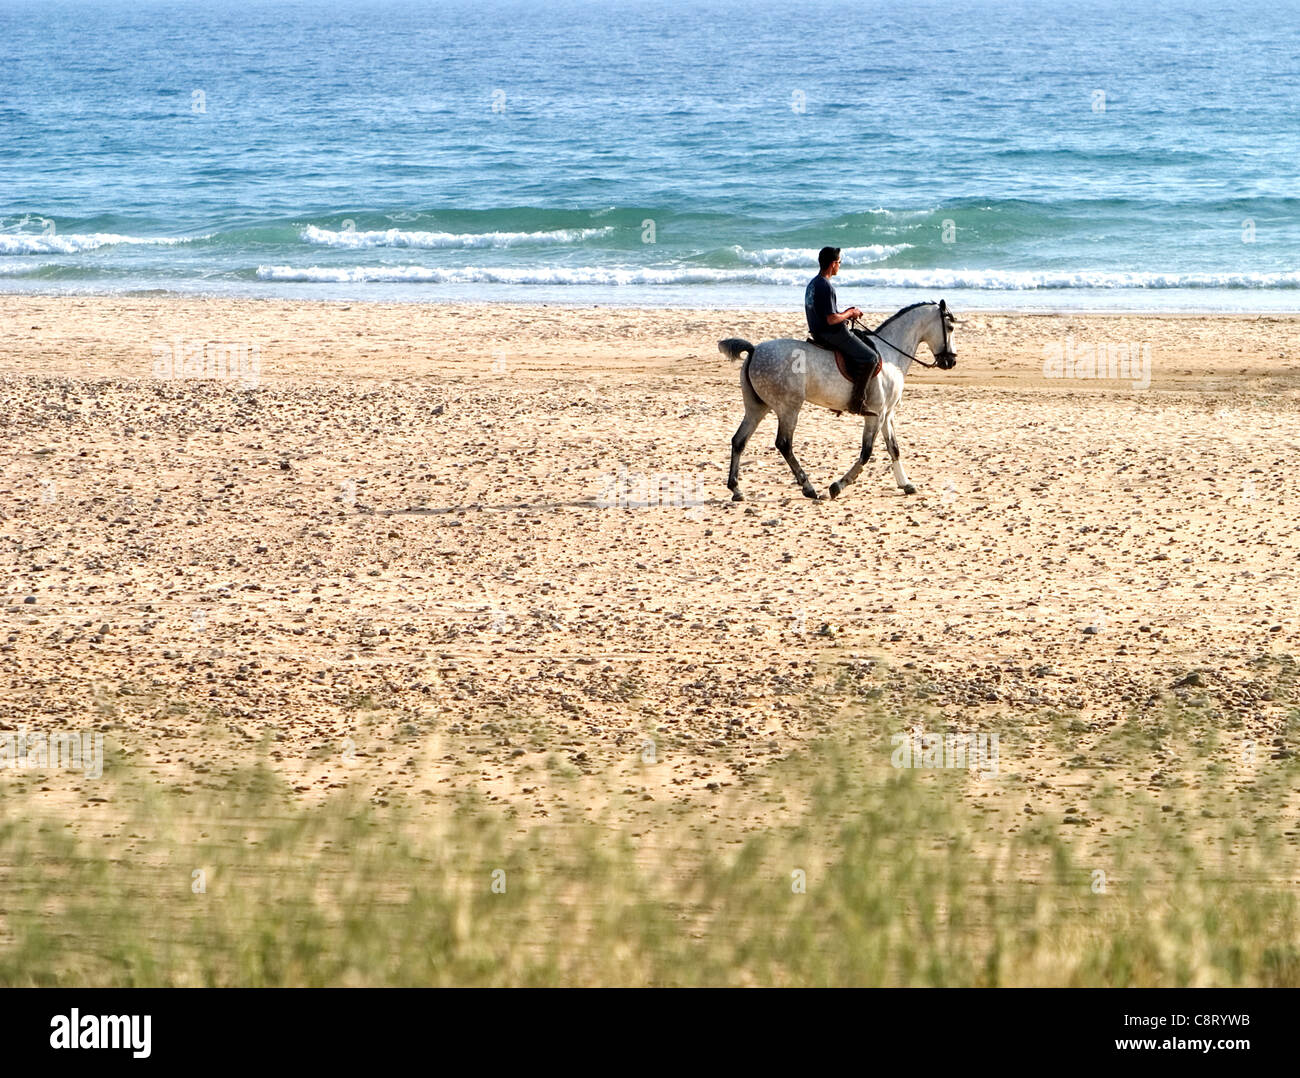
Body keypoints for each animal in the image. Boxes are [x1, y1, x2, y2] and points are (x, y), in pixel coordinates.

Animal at [718, 299, 959, 501]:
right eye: (950, 327)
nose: (951, 361)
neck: (891, 355)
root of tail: (754, 350)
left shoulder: (887, 414)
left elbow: (894, 448)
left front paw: (906, 483)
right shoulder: (876, 415)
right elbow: (866, 453)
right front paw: (838, 485)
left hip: (757, 408)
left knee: (739, 441)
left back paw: (736, 489)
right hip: (789, 408)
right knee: (784, 444)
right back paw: (808, 487)